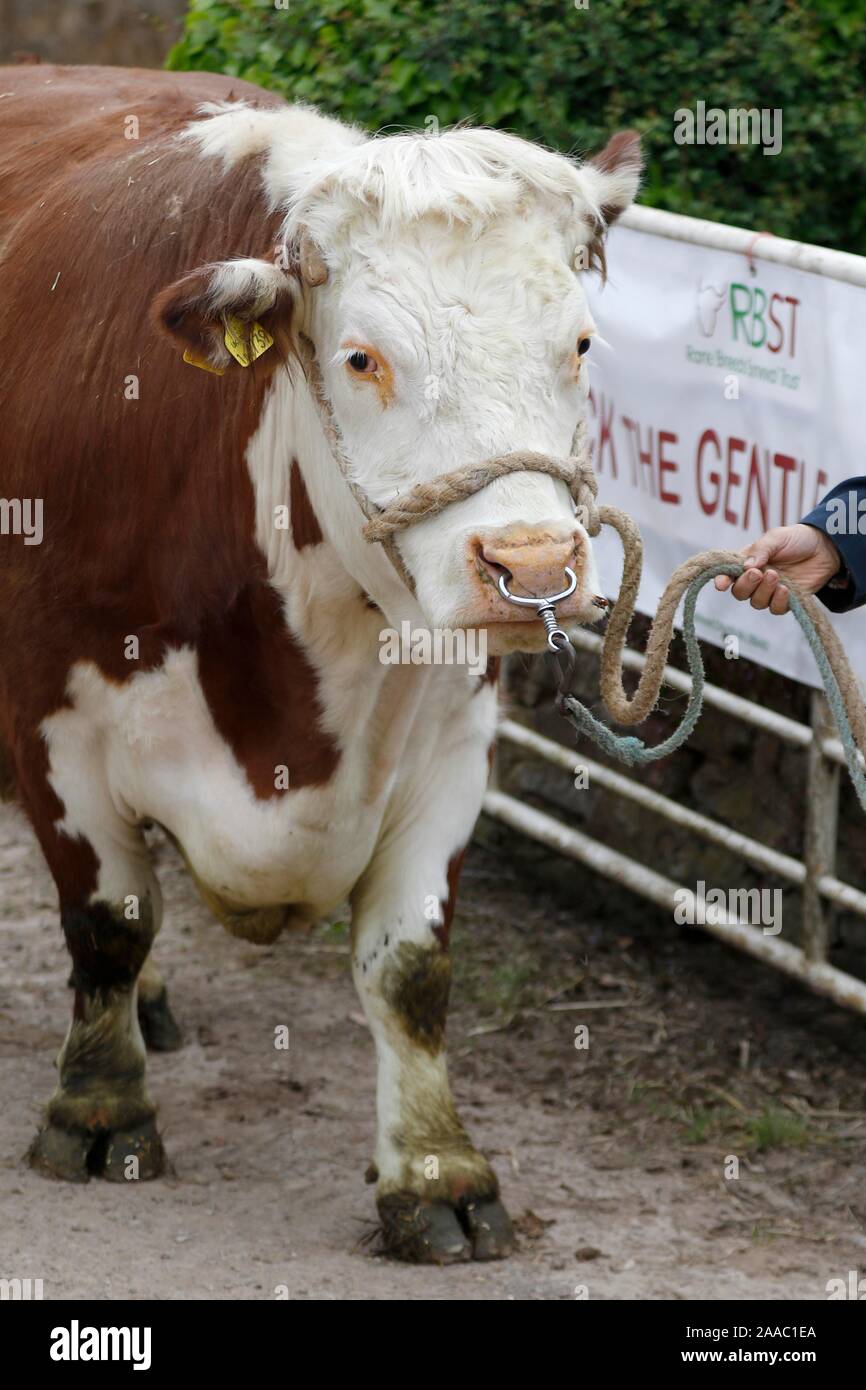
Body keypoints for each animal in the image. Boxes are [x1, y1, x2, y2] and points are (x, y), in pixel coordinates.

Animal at [0, 64, 640, 1263]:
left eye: (579, 345)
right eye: (361, 358)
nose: (531, 566)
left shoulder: (450, 742)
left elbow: (409, 967)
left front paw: (435, 1170)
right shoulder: (53, 722)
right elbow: (108, 916)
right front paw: (101, 1109)